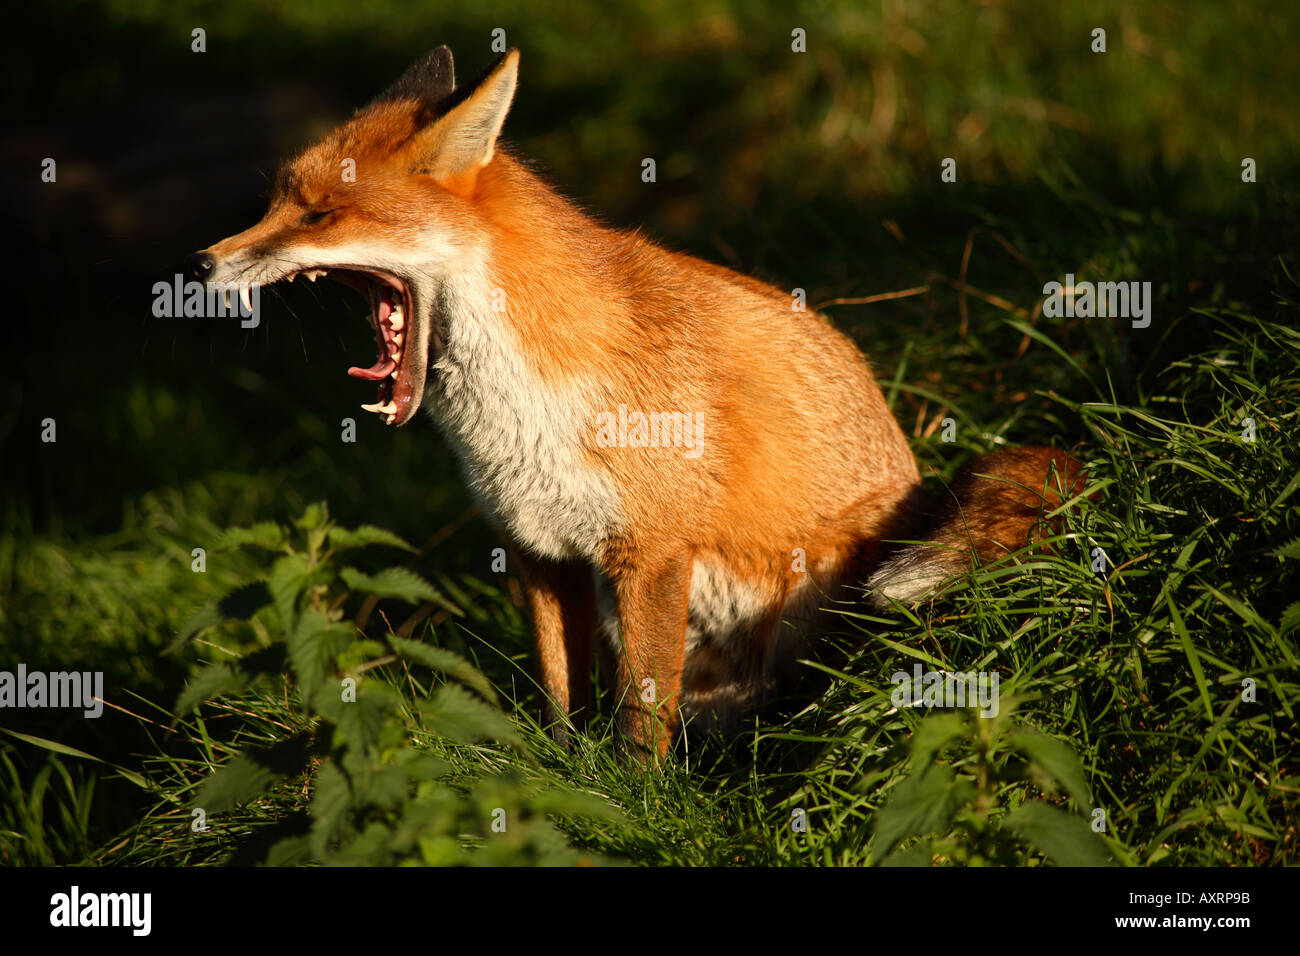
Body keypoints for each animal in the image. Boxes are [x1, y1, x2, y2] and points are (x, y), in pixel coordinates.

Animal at [188, 47, 1086, 758]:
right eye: (275, 202)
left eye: (319, 215)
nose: (200, 265)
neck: (519, 413)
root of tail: (924, 494)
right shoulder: (538, 549)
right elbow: (565, 702)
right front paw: (567, 784)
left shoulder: (650, 553)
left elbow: (638, 723)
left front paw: (636, 802)